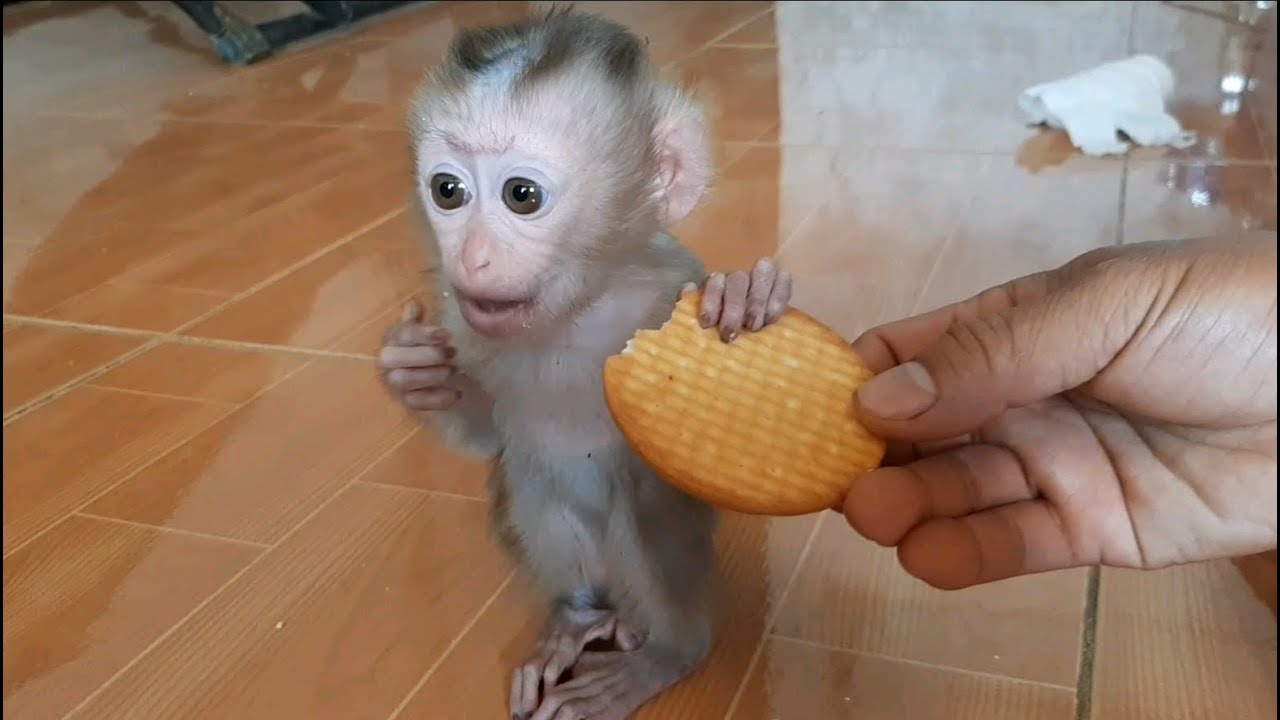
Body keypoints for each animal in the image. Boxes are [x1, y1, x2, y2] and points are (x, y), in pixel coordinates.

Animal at [377, 9, 792, 720]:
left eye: (521, 195)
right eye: (447, 190)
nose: (474, 256)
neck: (575, 309)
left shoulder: (669, 287)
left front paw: (747, 298)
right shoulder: (462, 317)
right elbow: (488, 432)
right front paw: (416, 376)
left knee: (643, 497)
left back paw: (663, 655)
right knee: (527, 471)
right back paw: (575, 622)